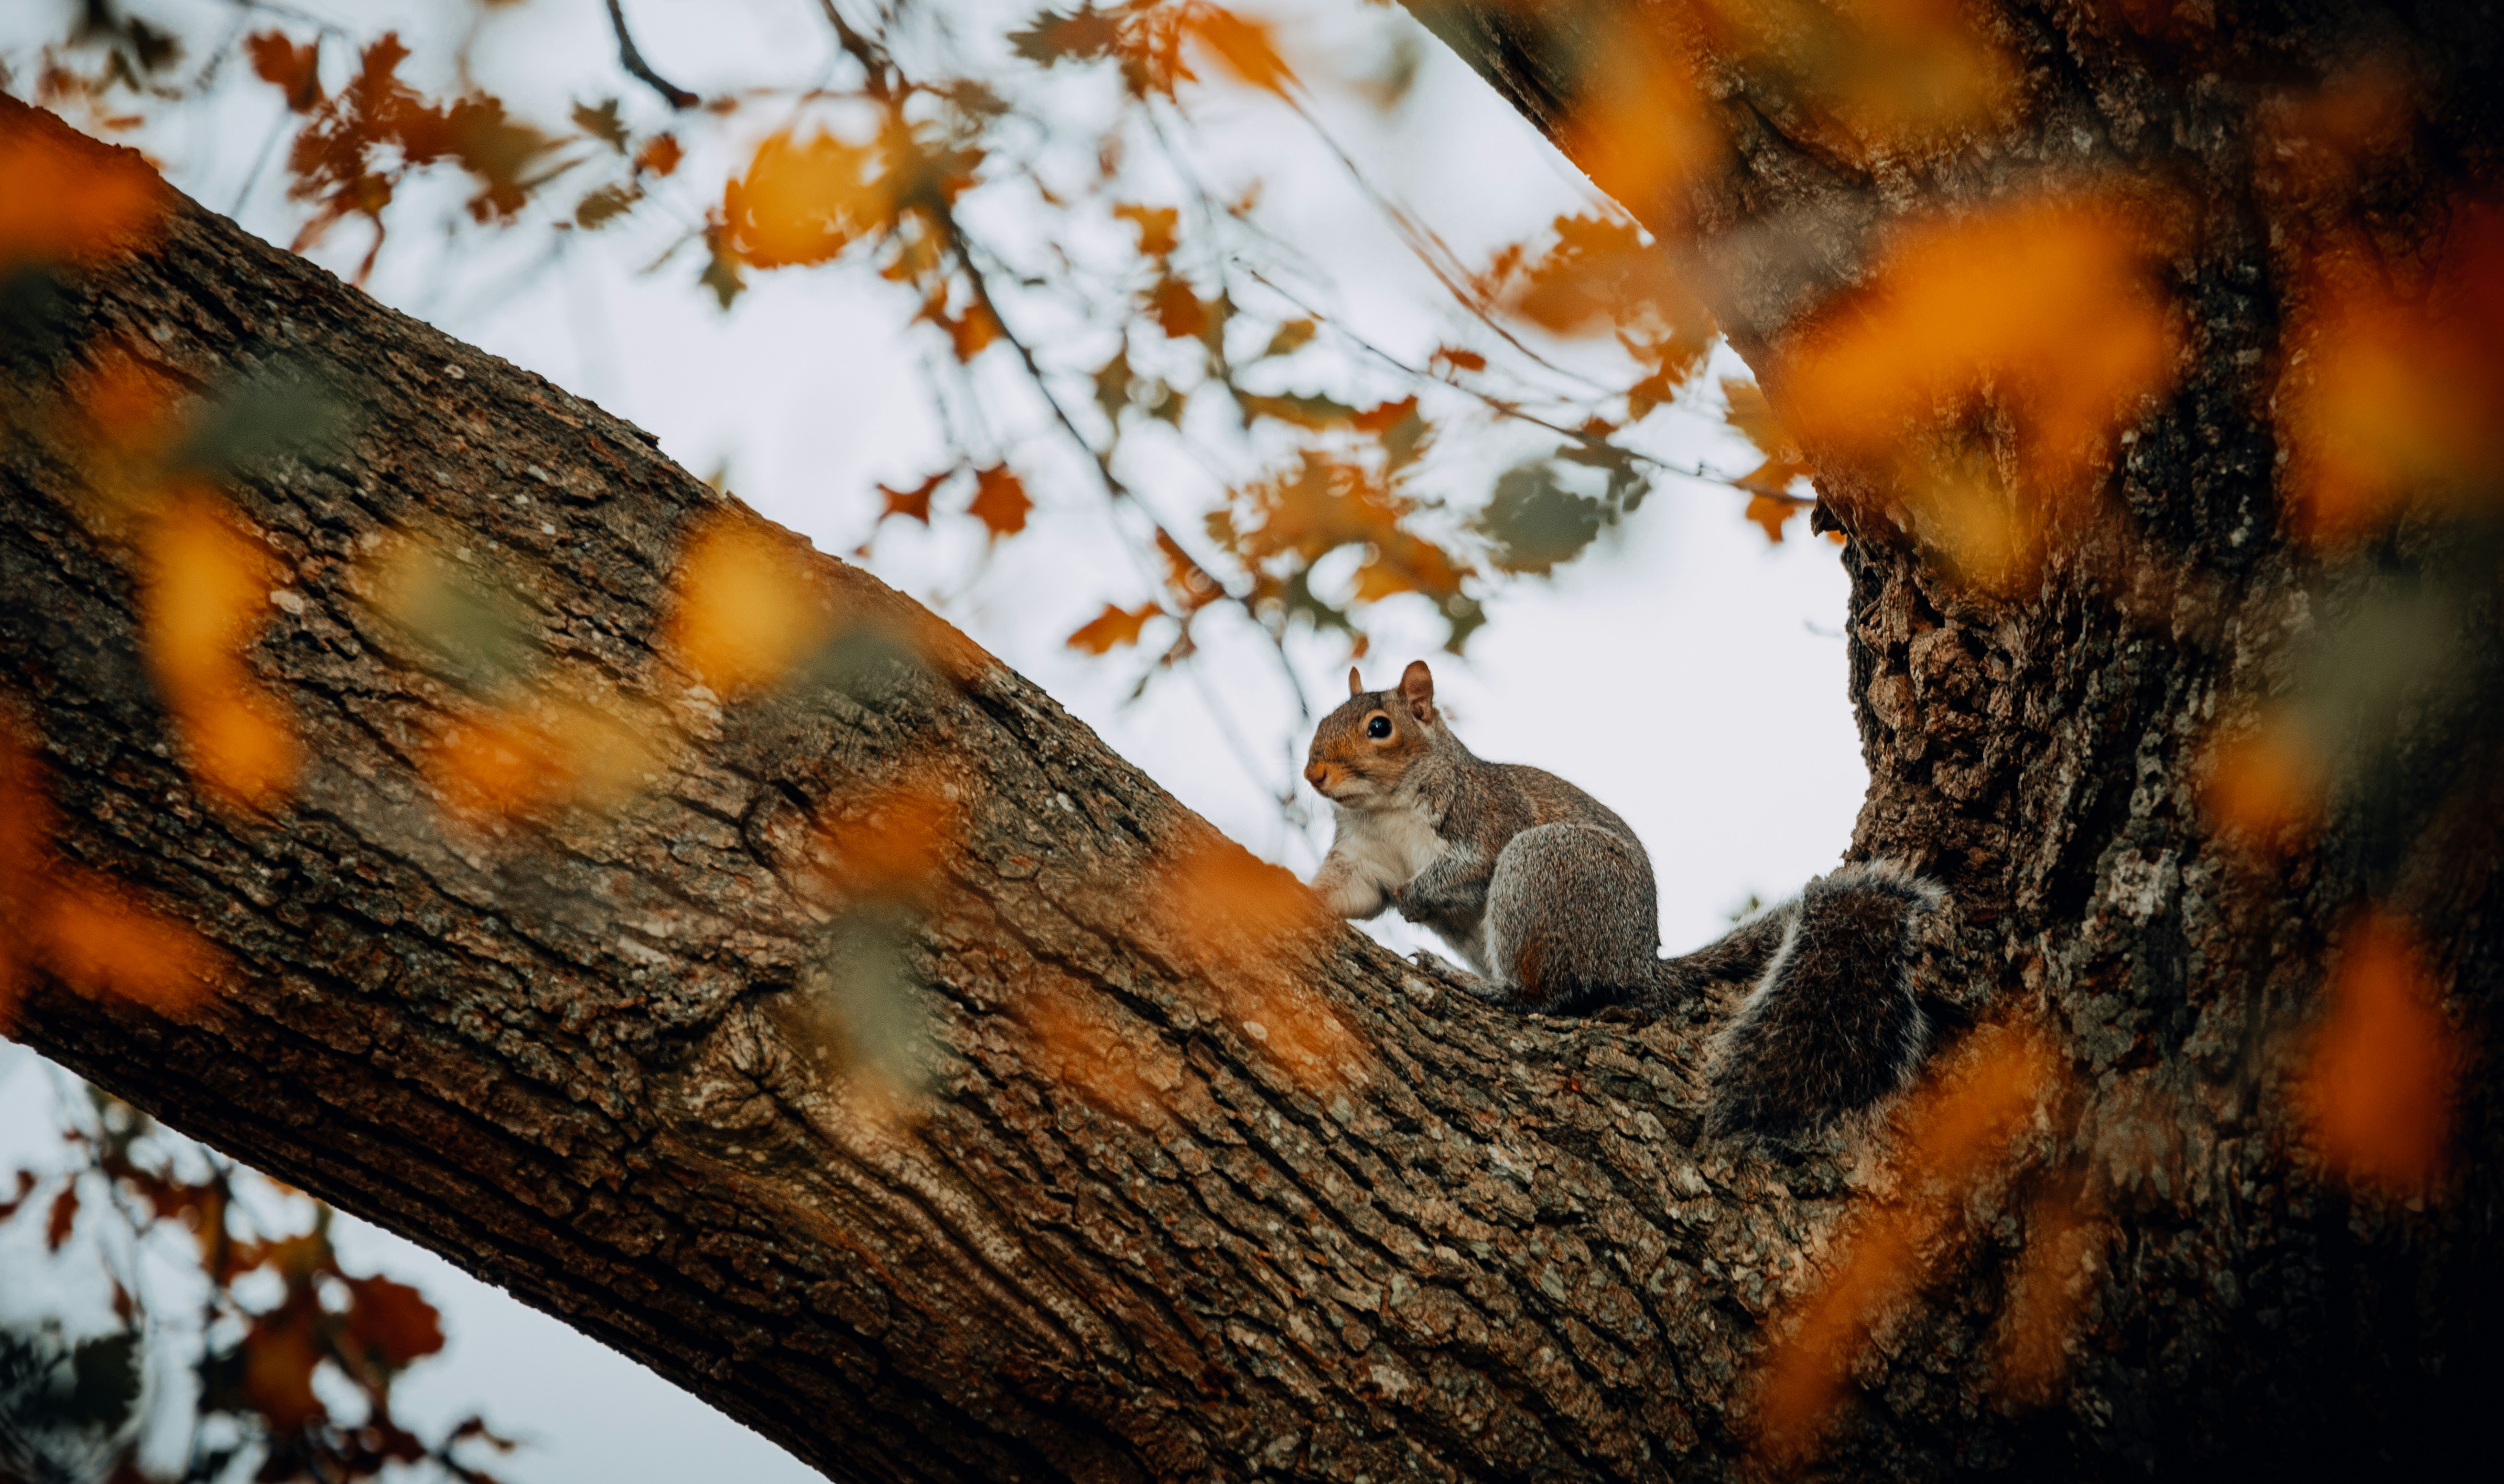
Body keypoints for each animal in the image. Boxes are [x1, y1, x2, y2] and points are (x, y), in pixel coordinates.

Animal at [1304, 659, 1943, 1139]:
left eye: (1380, 727)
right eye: (1323, 717)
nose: (1314, 774)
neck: (1385, 807)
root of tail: (1638, 961)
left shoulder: (1484, 820)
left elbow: (1467, 868)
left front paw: (1416, 896)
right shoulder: (1363, 859)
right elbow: (1348, 893)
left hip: (1543, 870)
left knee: (1540, 996)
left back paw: (1474, 982)